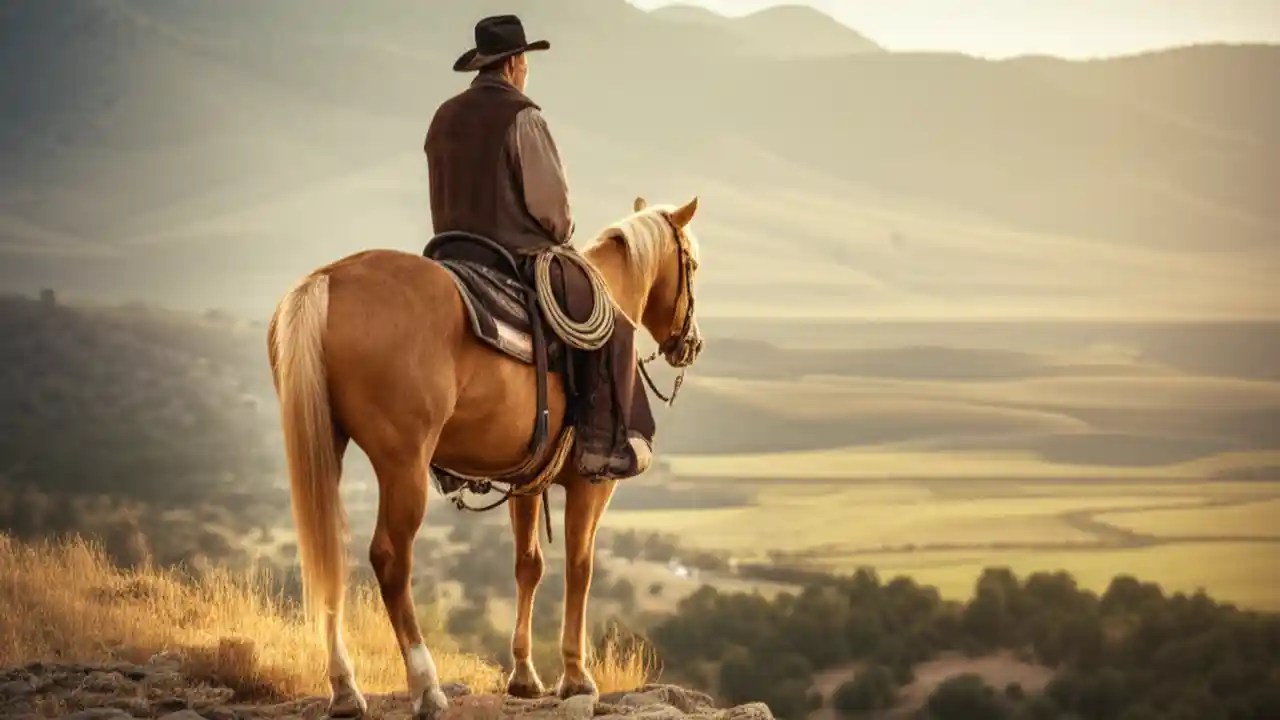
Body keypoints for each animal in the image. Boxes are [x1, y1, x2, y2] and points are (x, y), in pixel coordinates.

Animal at [266, 196, 703, 719]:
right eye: (693, 265)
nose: (691, 343)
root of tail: (328, 278)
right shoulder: (591, 487)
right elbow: (580, 567)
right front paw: (576, 677)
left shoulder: (526, 484)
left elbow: (528, 565)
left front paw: (525, 675)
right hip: (402, 464)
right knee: (390, 559)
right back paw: (426, 687)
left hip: (326, 449)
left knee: (328, 553)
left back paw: (345, 688)